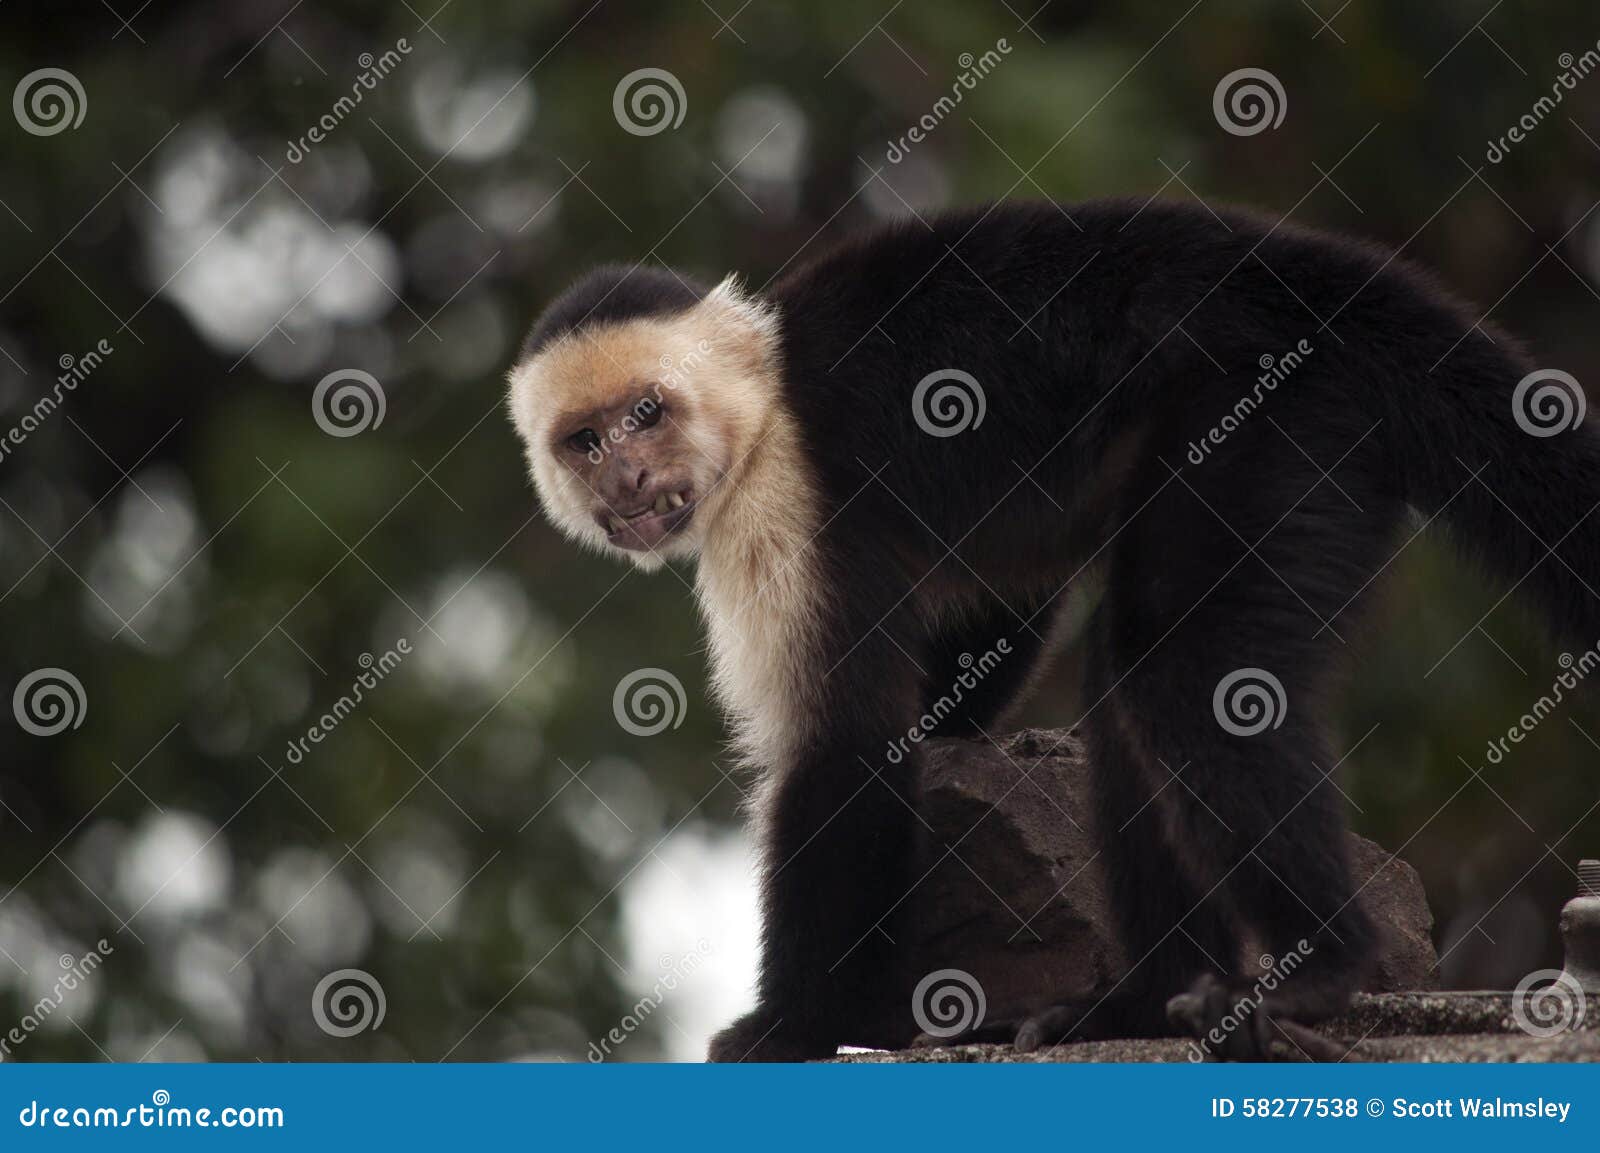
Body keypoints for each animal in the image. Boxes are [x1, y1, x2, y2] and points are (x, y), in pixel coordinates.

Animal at [505, 198, 1594, 1061]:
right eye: (584, 440)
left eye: (648, 412)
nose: (624, 481)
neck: (763, 405)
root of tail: (1310, 279)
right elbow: (994, 622)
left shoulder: (779, 491)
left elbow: (844, 743)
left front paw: (799, 1027)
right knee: (1128, 678)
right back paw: (1146, 1001)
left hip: (1275, 411)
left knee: (1183, 671)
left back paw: (1324, 966)